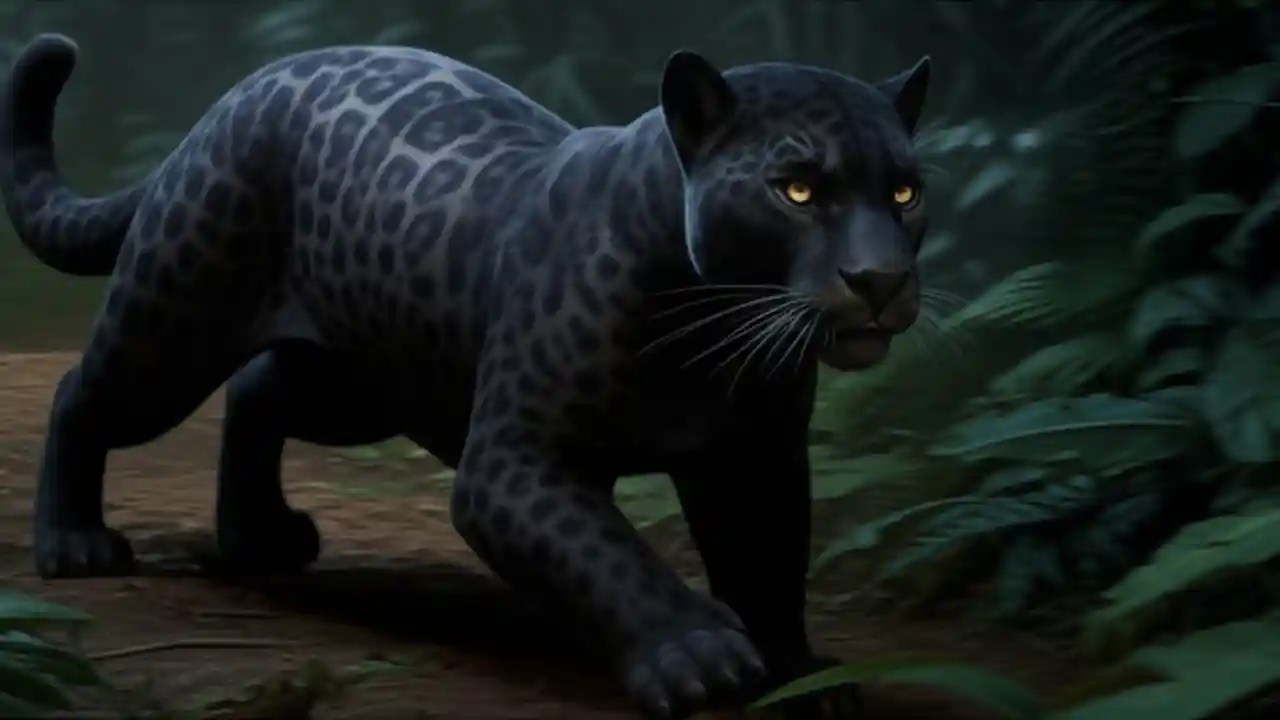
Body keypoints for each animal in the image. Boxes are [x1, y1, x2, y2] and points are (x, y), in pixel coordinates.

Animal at [0, 32, 930, 719]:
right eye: (797, 190)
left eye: (906, 192)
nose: (879, 281)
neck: (716, 343)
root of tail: (235, 96)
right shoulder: (514, 463)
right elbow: (607, 552)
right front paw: (697, 658)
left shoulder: (757, 458)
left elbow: (771, 562)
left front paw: (800, 672)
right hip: (180, 311)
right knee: (86, 393)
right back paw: (75, 545)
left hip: (364, 379)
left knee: (256, 391)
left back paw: (260, 538)